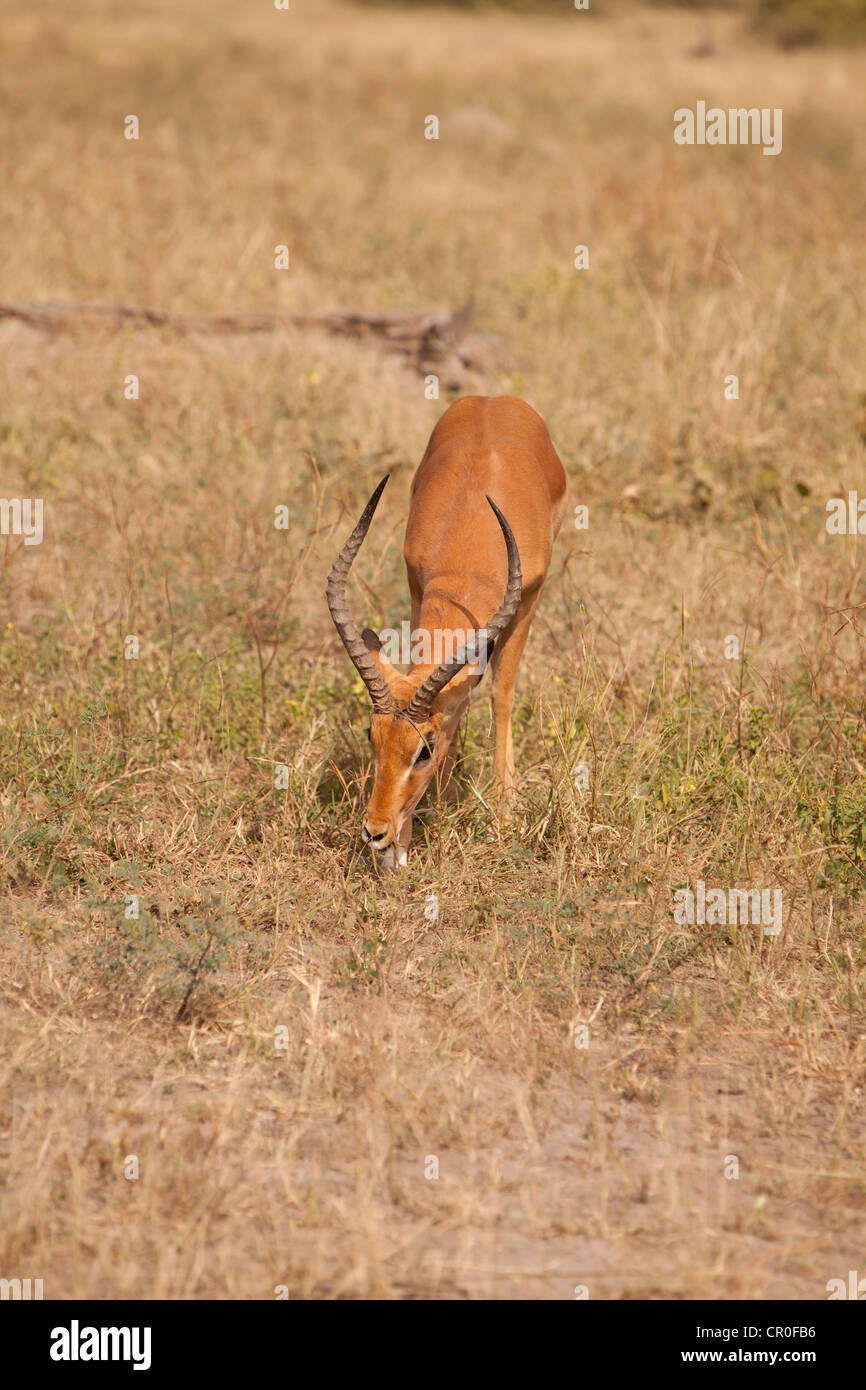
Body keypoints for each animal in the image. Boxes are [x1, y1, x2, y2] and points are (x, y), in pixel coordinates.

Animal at [327, 395, 567, 867]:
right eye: (371, 735)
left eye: (425, 748)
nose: (375, 833)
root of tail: (495, 399)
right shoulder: (415, 584)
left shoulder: (528, 599)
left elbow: (501, 695)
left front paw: (502, 818)